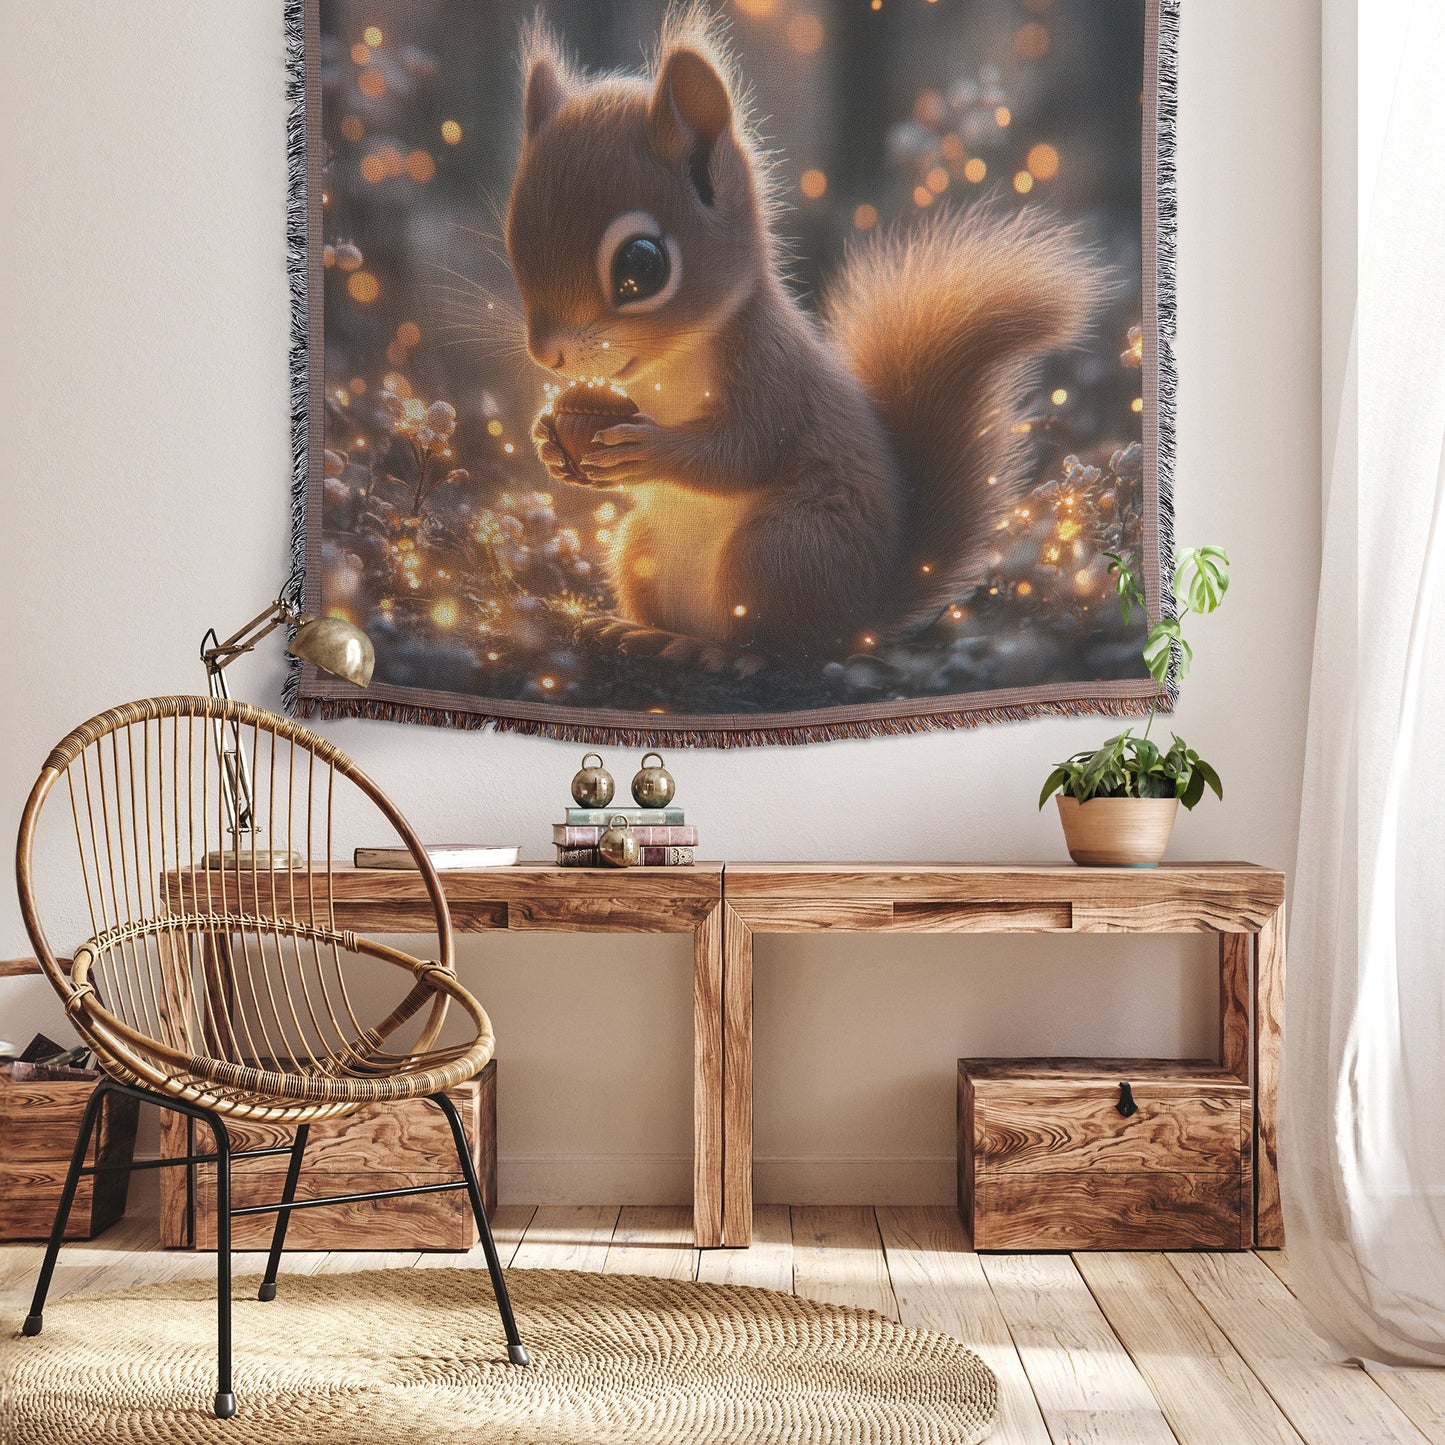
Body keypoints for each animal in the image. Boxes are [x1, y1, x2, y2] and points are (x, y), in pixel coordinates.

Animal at [505, 5, 1107, 669]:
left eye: (642, 266)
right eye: (512, 235)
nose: (547, 353)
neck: (669, 365)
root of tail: (861, 616)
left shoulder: (772, 371)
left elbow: (747, 449)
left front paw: (652, 451)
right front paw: (546, 440)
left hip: (784, 548)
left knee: (780, 643)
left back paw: (711, 650)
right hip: (640, 546)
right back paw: (636, 630)